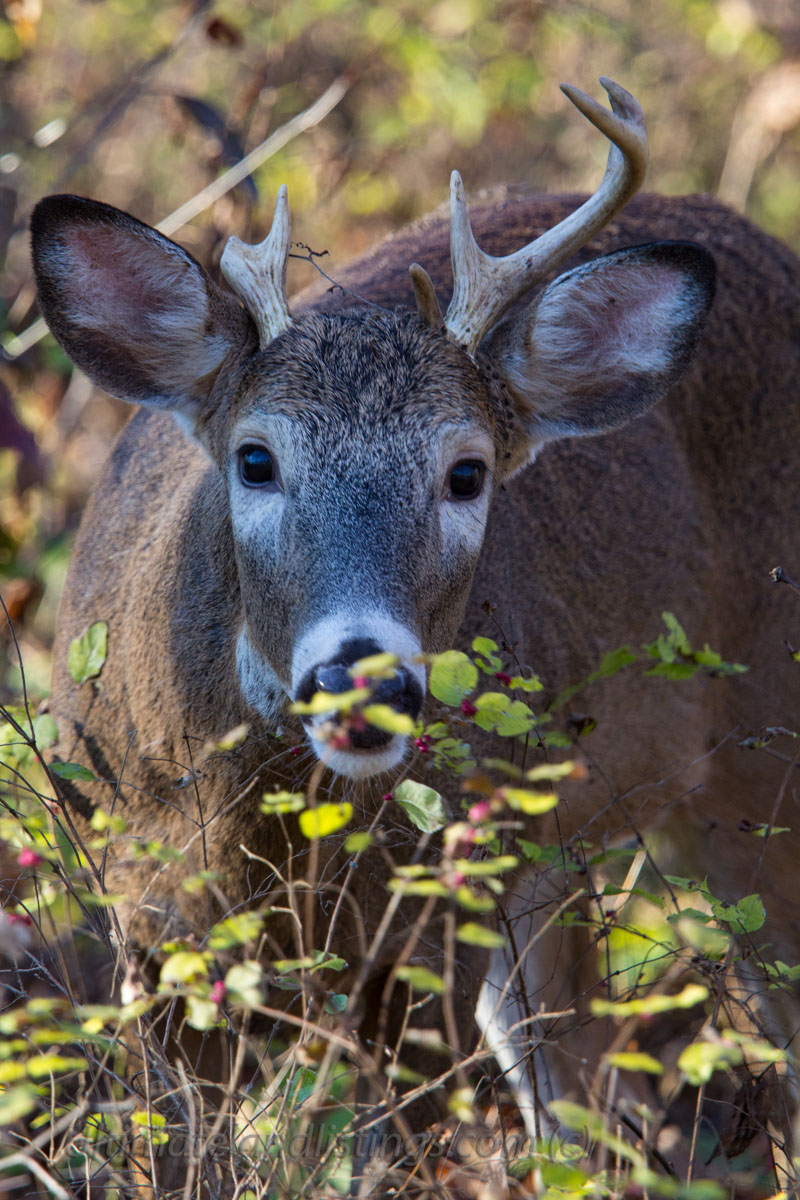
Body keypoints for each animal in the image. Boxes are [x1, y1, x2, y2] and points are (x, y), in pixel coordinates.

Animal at [31, 75, 800, 1188]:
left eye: (466, 472)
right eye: (255, 458)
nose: (363, 680)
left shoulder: (430, 924)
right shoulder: (146, 914)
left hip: (755, 758)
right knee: (575, 1082)